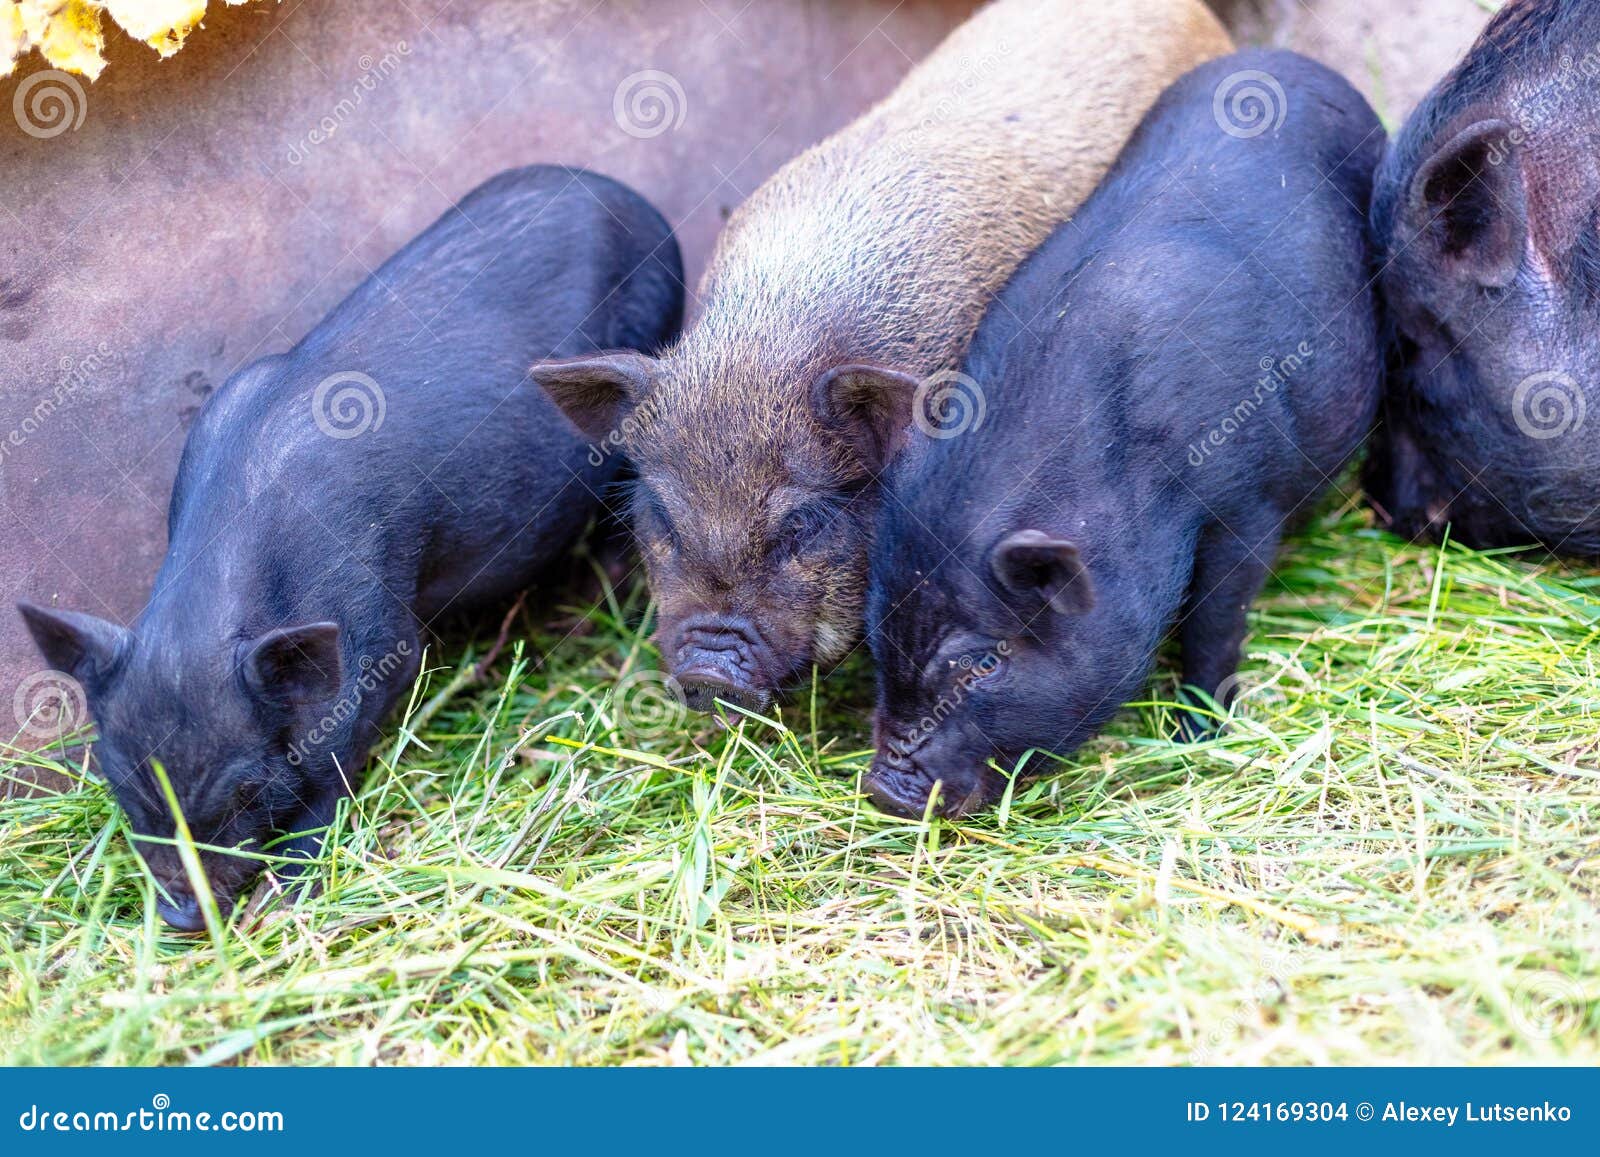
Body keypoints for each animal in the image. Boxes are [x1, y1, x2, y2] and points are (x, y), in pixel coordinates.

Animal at [17, 165, 685, 930]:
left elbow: (337, 750)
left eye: (244, 791)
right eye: (123, 782)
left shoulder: (376, 631)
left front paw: (291, 889)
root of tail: (633, 200)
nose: (185, 917)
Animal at [862, 50, 1386, 818]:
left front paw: (1198, 734)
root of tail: (1286, 59)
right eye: (879, 640)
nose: (881, 787)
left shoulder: (1247, 501)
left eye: (983, 663)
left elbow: (1215, 620)